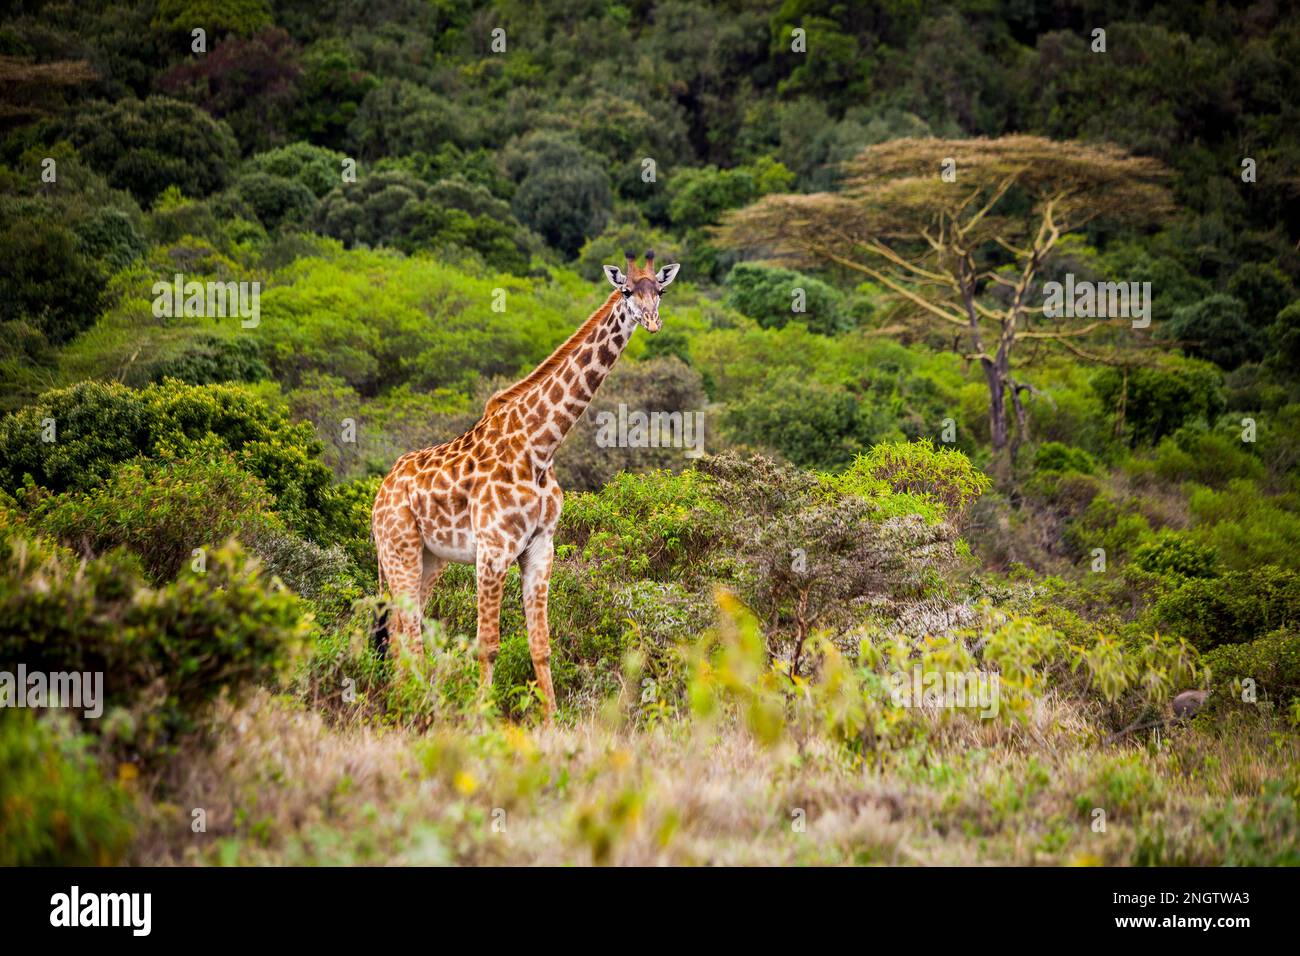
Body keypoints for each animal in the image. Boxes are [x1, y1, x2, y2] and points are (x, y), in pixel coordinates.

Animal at [371, 250, 681, 720]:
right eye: (626, 291)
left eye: (660, 290)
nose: (651, 321)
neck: (541, 447)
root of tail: (380, 492)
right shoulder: (493, 549)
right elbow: (488, 645)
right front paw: (481, 716)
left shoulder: (540, 547)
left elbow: (541, 646)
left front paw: (551, 720)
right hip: (398, 548)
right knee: (407, 629)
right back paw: (413, 707)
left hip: (430, 558)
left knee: (401, 627)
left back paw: (403, 703)